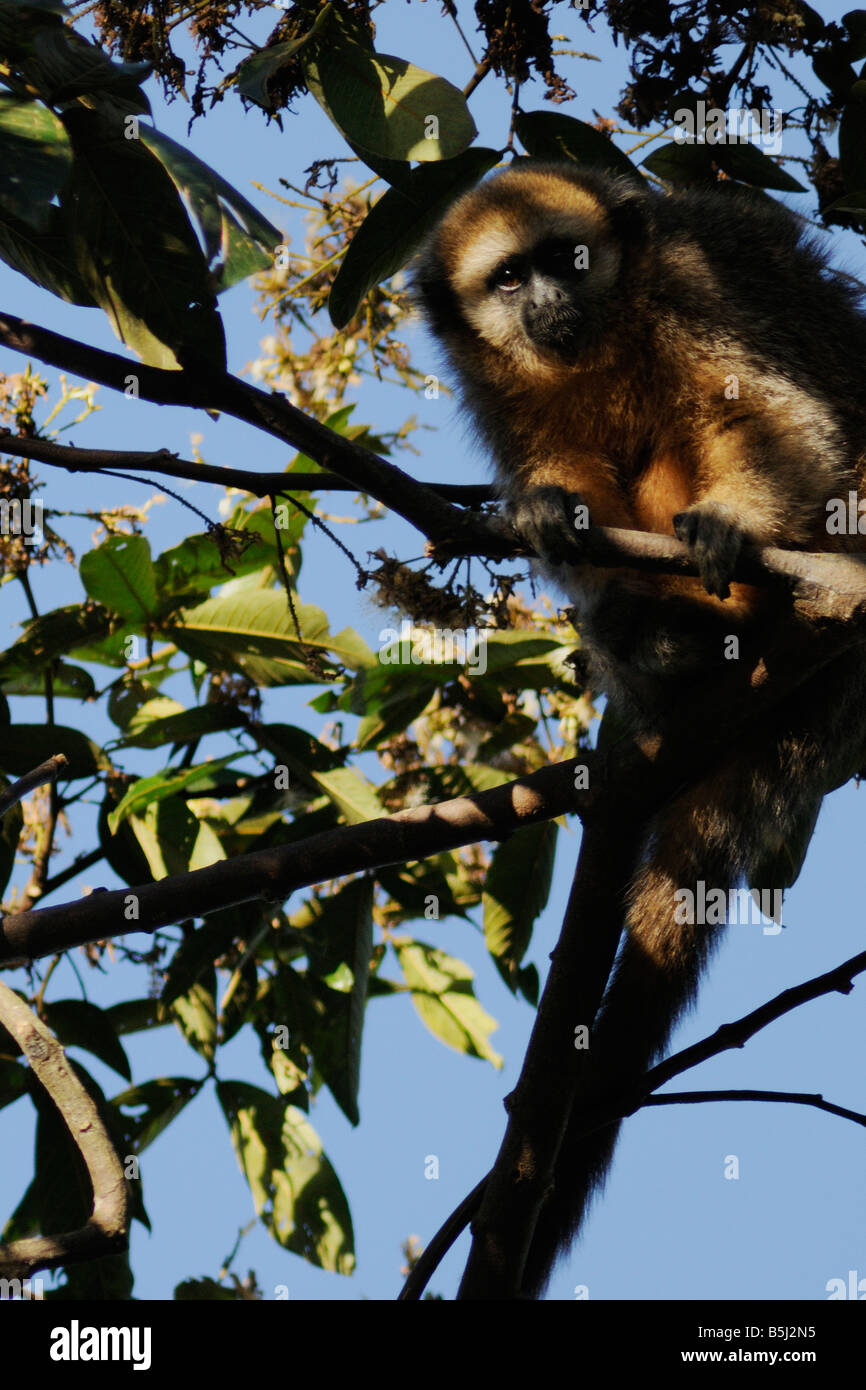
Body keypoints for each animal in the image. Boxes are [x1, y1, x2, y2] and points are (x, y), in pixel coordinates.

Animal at [412, 161, 866, 1297]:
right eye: (508, 278)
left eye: (567, 260)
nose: (546, 302)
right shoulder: (489, 380)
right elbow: (558, 475)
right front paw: (551, 514)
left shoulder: (697, 290)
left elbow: (777, 415)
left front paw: (736, 524)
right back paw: (658, 639)